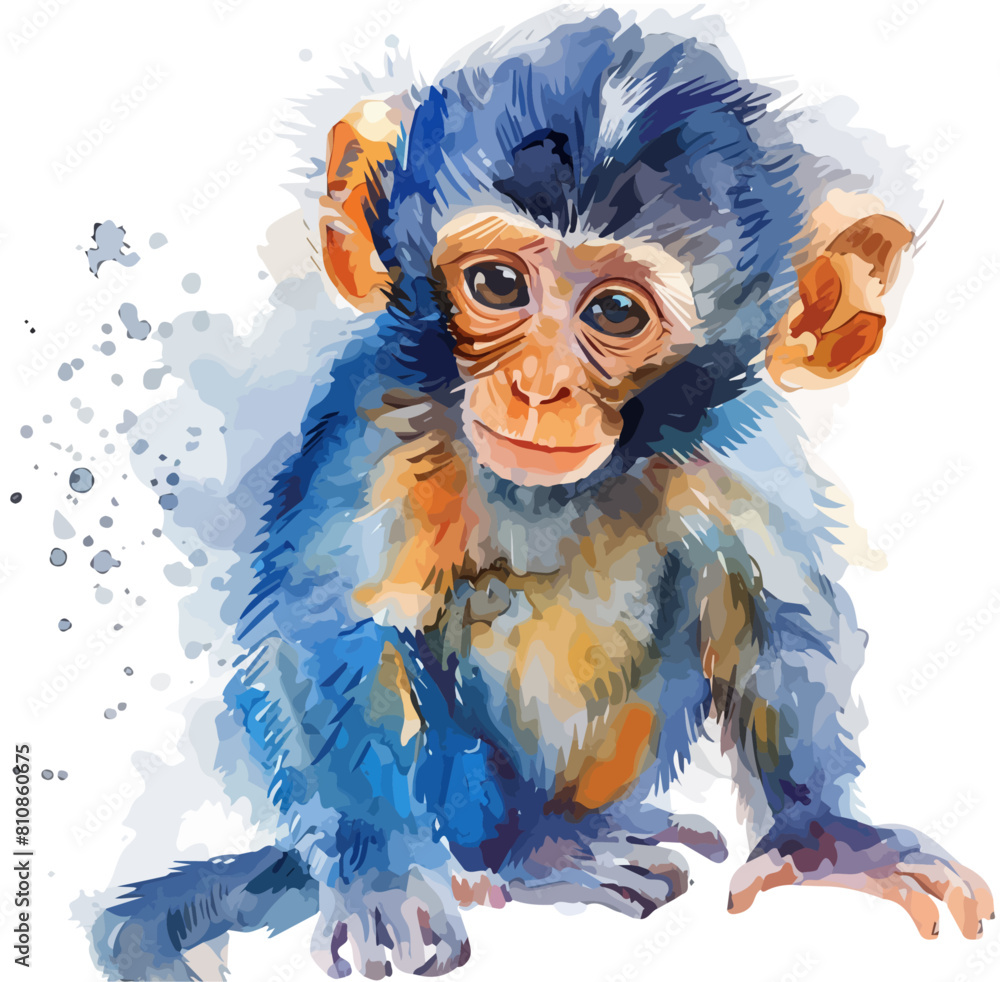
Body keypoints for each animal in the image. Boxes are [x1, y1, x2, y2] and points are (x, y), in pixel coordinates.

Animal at [88, 9, 993, 980]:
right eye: (496, 285)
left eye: (615, 314)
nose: (537, 387)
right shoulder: (384, 421)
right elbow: (336, 630)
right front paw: (381, 875)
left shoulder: (736, 445)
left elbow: (775, 612)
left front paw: (827, 840)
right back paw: (537, 856)